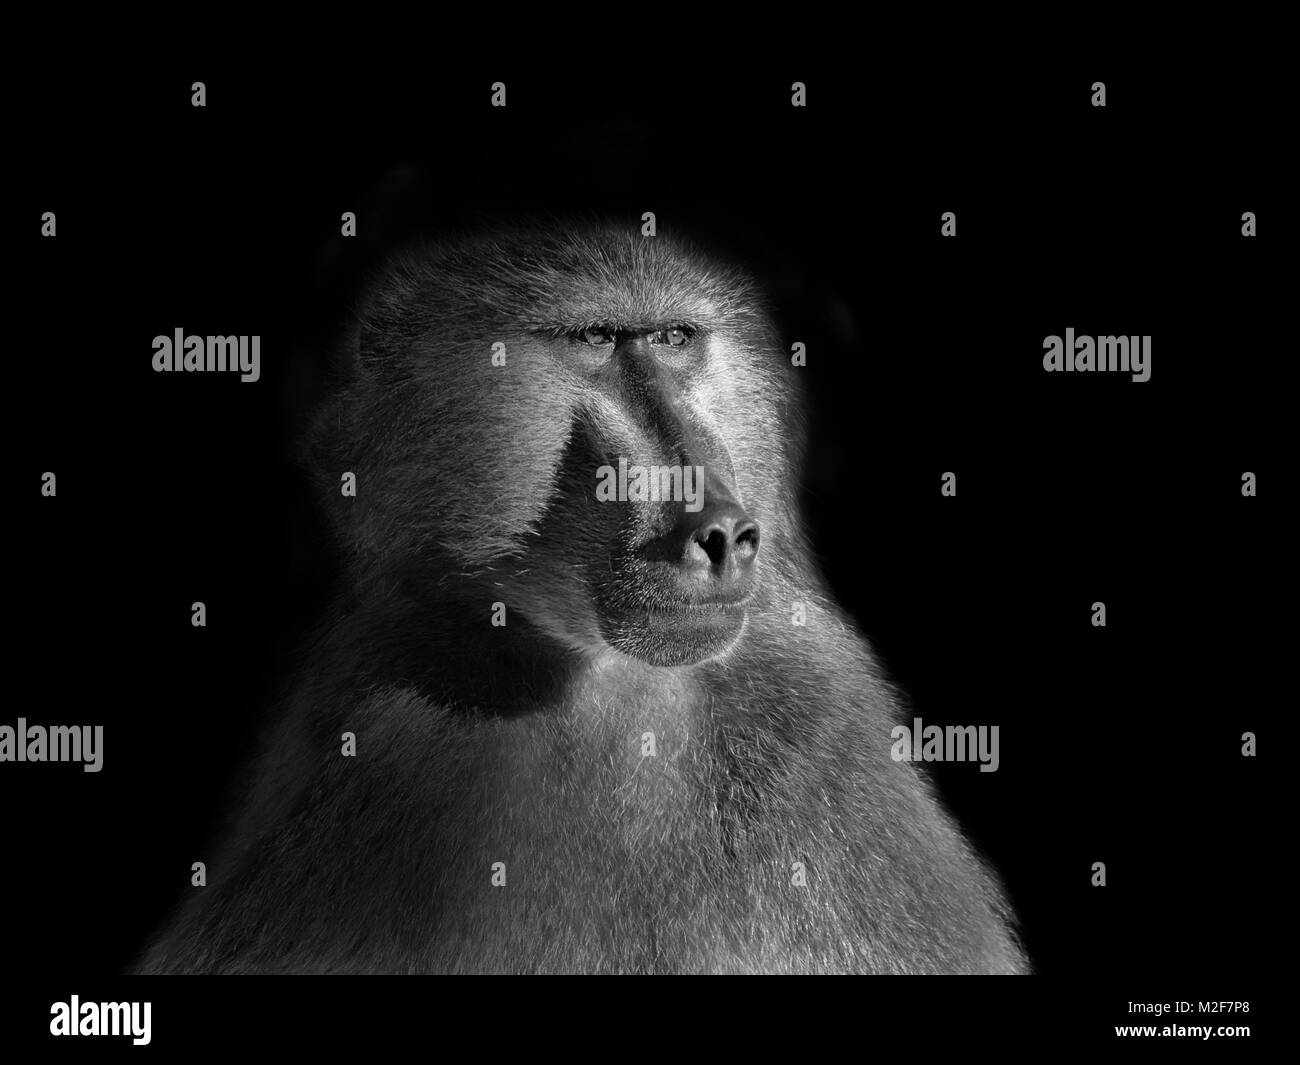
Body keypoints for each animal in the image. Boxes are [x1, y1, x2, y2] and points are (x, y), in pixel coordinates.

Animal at [134, 222, 1028, 974]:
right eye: (595, 340)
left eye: (675, 338)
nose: (721, 533)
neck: (606, 685)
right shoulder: (386, 725)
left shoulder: (814, 708)